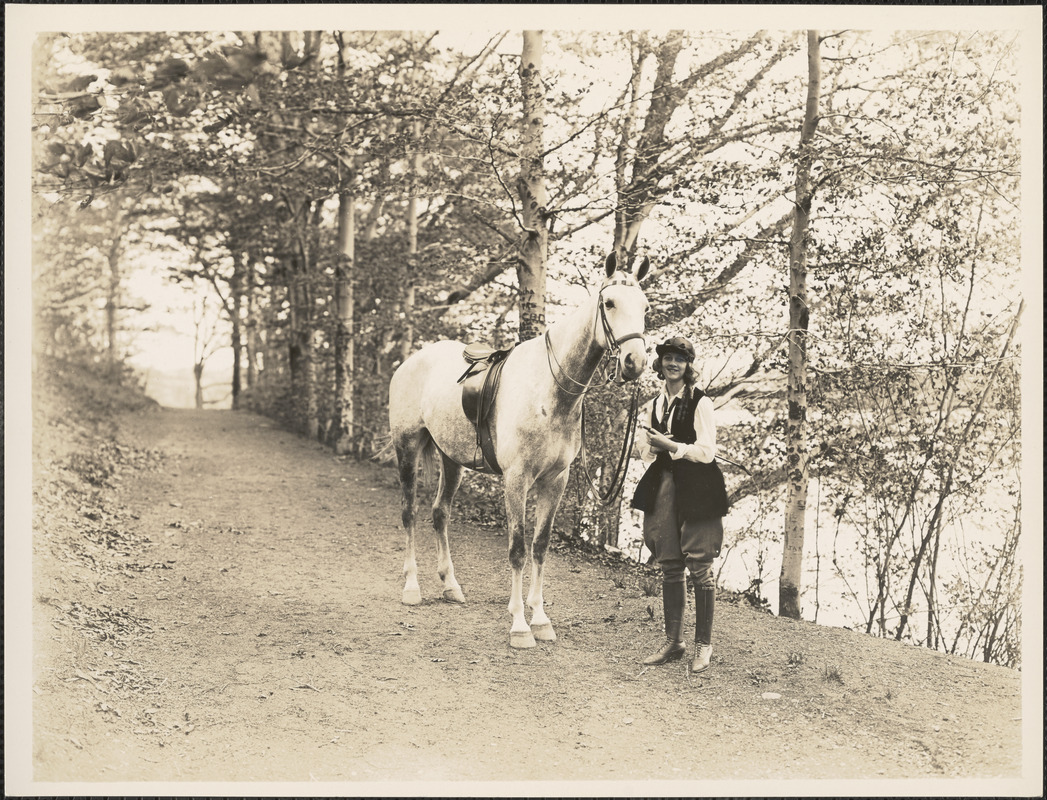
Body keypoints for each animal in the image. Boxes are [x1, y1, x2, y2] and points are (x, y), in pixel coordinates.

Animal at [386, 252, 650, 648]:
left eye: (645, 306)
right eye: (609, 302)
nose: (636, 362)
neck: (549, 390)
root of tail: (411, 361)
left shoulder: (555, 480)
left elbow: (539, 546)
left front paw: (540, 618)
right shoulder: (516, 479)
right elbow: (517, 549)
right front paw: (520, 626)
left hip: (452, 459)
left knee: (439, 513)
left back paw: (450, 586)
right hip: (407, 447)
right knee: (409, 513)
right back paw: (412, 587)